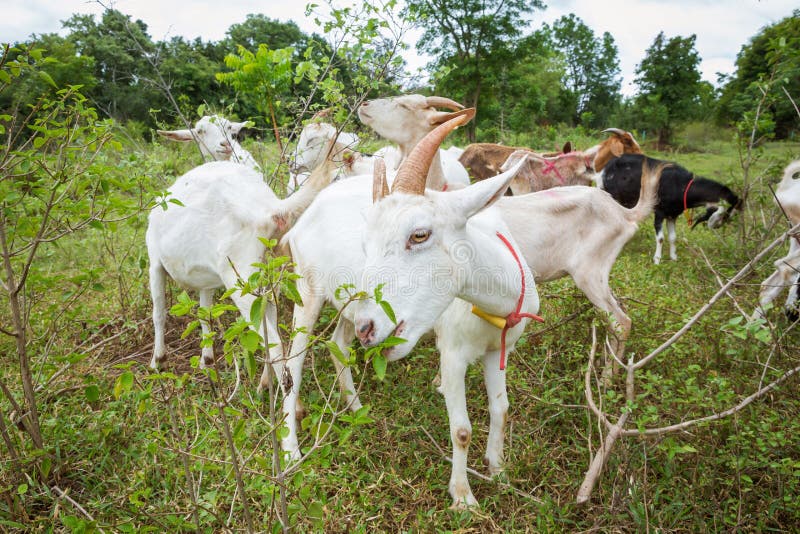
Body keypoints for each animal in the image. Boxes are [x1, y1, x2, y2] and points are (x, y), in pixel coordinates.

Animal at [147, 151, 335, 371]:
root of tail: (269, 207)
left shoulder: (155, 262)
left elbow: (159, 313)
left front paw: (157, 360)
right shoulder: (205, 280)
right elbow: (205, 314)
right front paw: (207, 360)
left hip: (239, 274)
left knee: (274, 344)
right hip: (271, 269)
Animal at [598, 153, 741, 264]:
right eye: (726, 214)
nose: (717, 226)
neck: (681, 186)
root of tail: (609, 165)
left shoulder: (672, 215)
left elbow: (673, 237)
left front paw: (673, 258)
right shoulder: (659, 212)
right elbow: (661, 238)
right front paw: (657, 260)